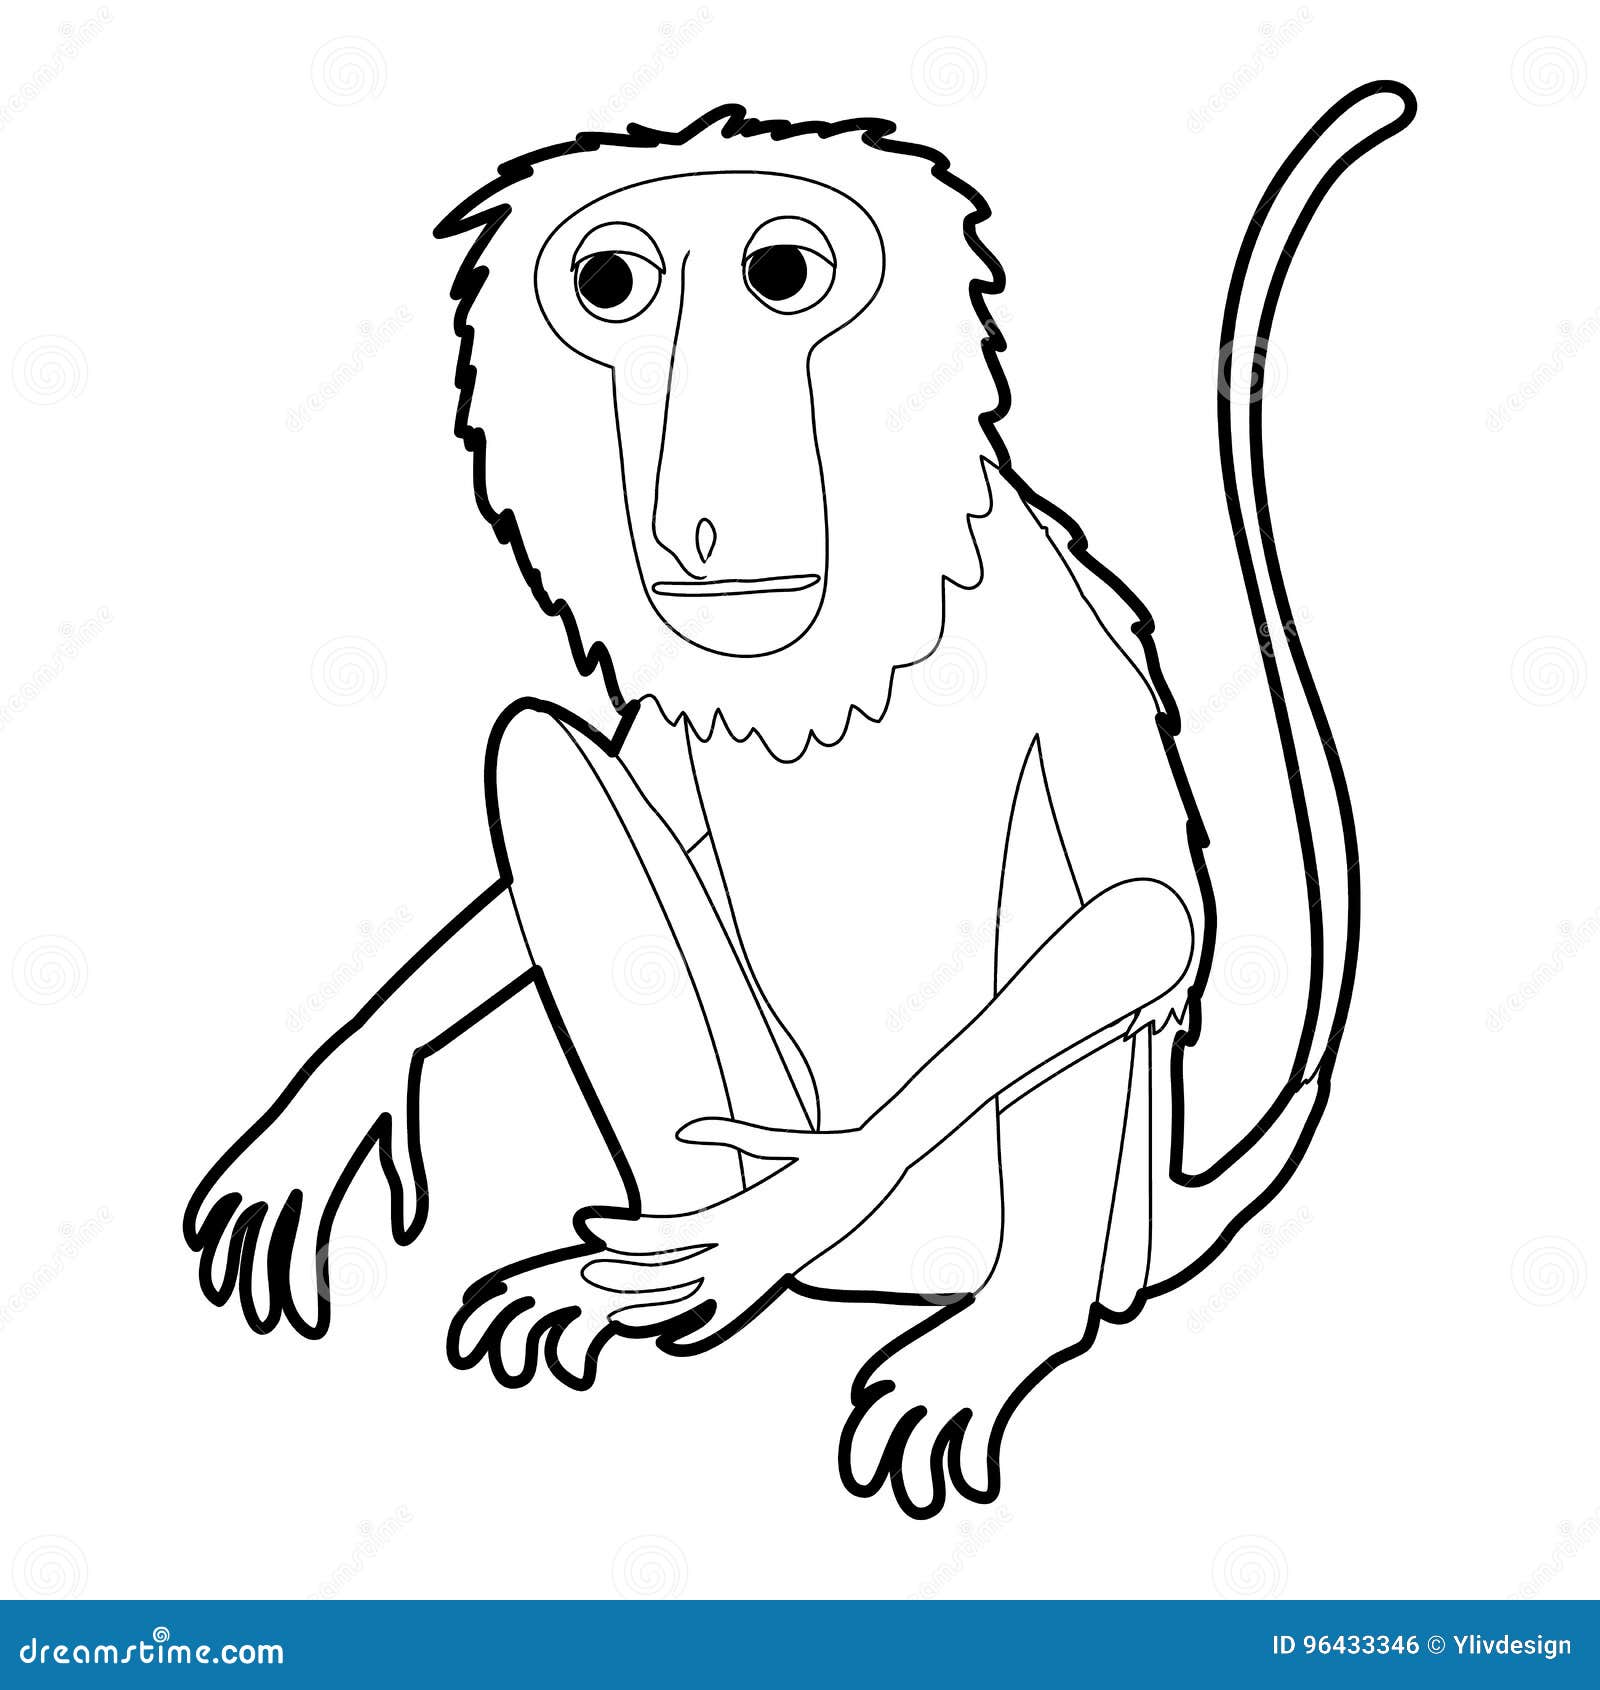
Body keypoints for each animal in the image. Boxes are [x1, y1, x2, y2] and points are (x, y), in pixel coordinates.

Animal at [184, 86, 1415, 1519]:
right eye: (610, 285)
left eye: (781, 274)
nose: (707, 522)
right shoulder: (684, 691)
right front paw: (334, 1094)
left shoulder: (1054, 630)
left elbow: (1148, 912)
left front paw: (813, 1193)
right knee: (538, 756)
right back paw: (640, 1285)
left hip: (1031, 1214)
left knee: (1075, 938)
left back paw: (1002, 1318)